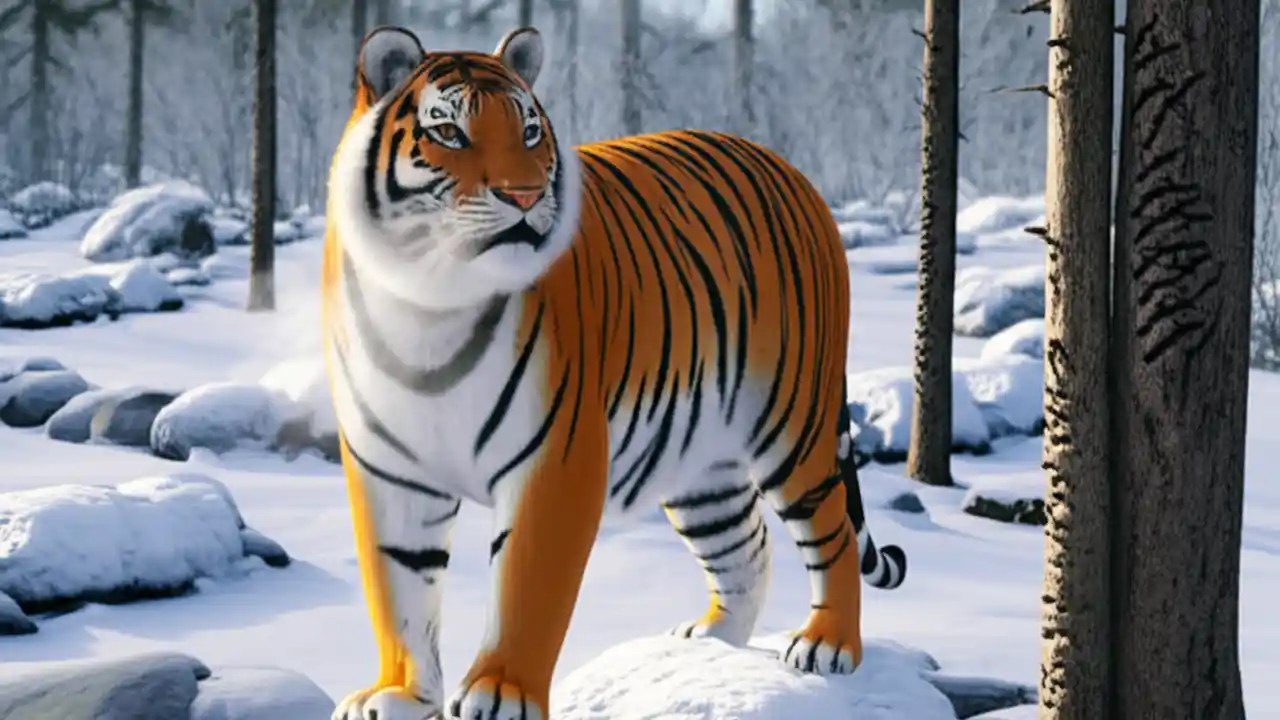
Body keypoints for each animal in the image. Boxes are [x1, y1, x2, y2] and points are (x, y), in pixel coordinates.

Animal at [322, 24, 908, 720]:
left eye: (529, 131)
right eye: (449, 132)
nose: (524, 196)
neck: (427, 303)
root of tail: (792, 171)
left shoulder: (555, 458)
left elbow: (527, 586)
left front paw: (500, 692)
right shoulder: (390, 474)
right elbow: (400, 592)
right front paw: (398, 694)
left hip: (792, 423)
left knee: (834, 532)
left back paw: (827, 644)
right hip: (703, 462)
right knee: (745, 548)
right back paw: (709, 645)